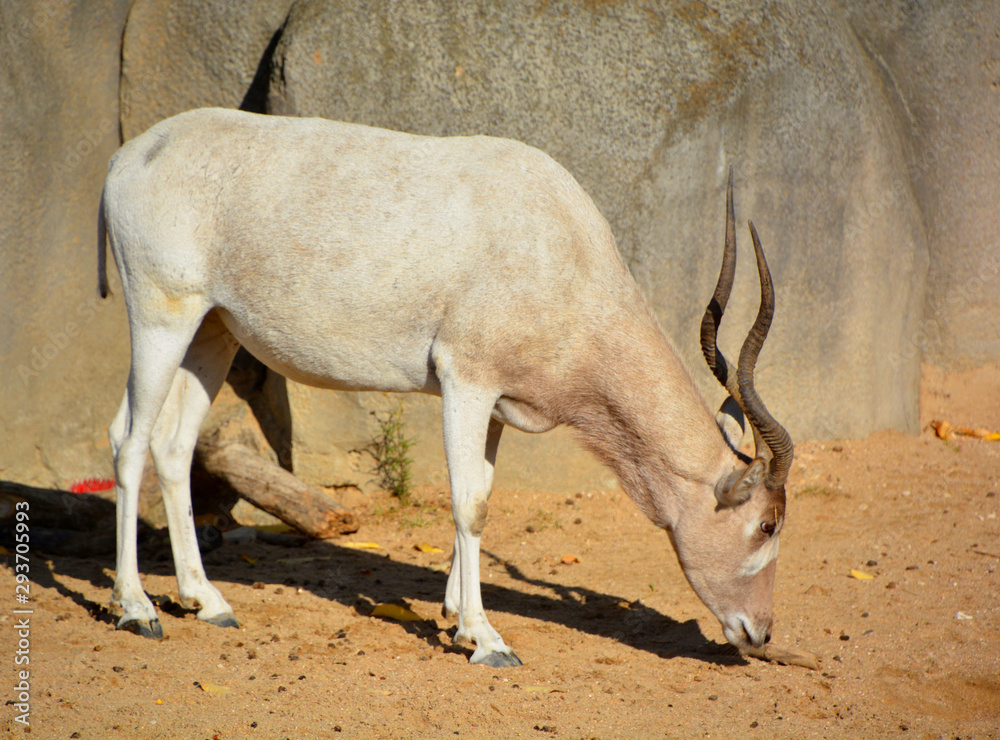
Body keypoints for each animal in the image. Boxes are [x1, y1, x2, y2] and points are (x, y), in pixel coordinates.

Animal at [100, 108, 792, 667]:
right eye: (766, 525)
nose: (759, 634)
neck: (560, 252)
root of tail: (128, 157)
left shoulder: (498, 406)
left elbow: (481, 491)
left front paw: (456, 617)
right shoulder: (466, 380)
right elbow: (469, 505)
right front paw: (486, 640)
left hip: (214, 330)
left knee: (173, 445)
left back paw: (205, 599)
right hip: (161, 315)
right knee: (128, 440)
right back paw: (138, 609)